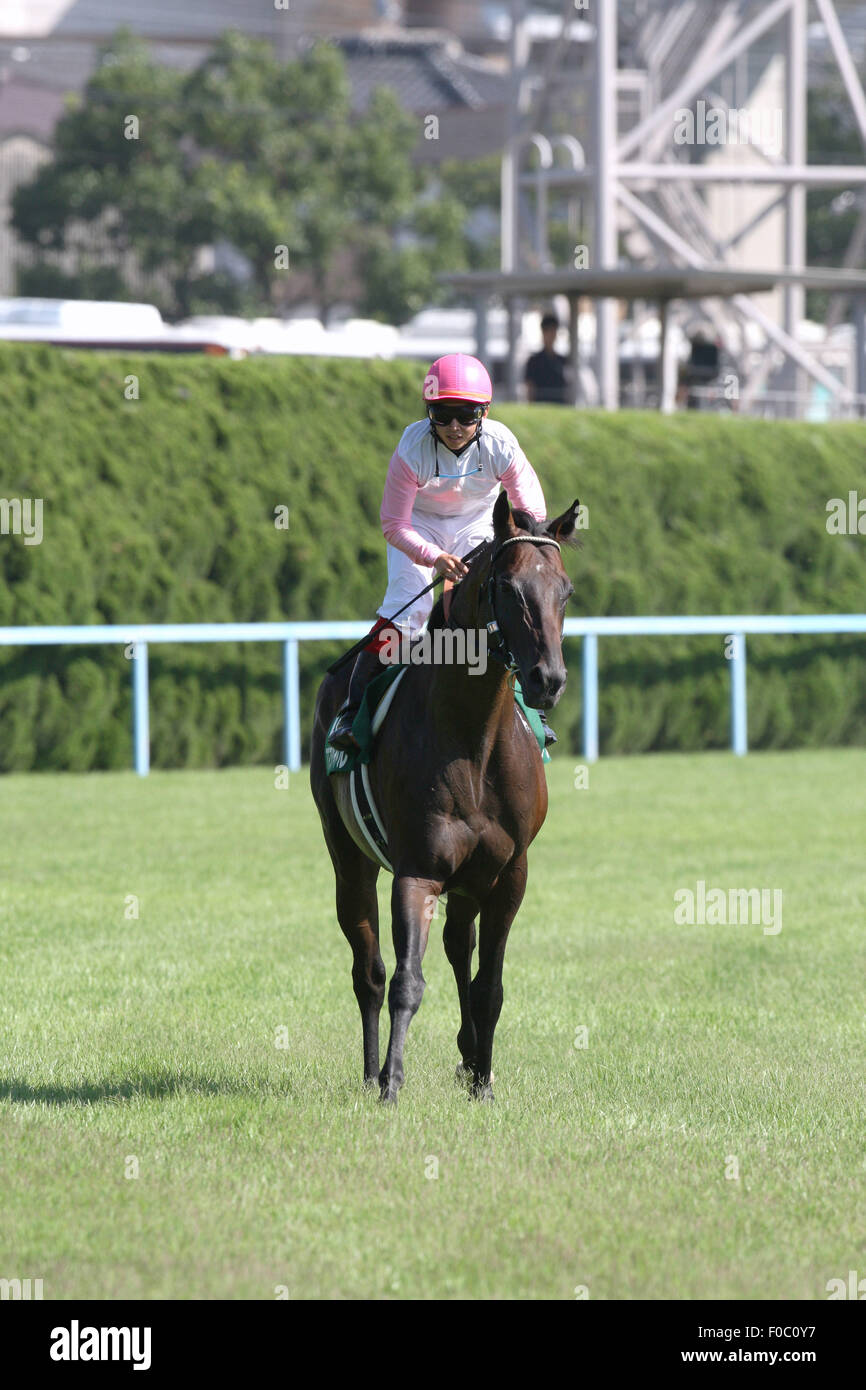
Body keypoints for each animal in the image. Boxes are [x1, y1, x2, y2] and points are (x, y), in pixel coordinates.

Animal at [309, 490, 579, 1104]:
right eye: (509, 588)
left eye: (566, 590)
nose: (548, 680)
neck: (473, 736)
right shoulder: (419, 870)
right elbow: (406, 980)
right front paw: (391, 1082)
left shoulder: (509, 874)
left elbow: (489, 985)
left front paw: (483, 1078)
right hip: (349, 858)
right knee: (369, 969)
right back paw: (370, 1073)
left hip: (472, 878)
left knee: (460, 946)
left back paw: (469, 1056)